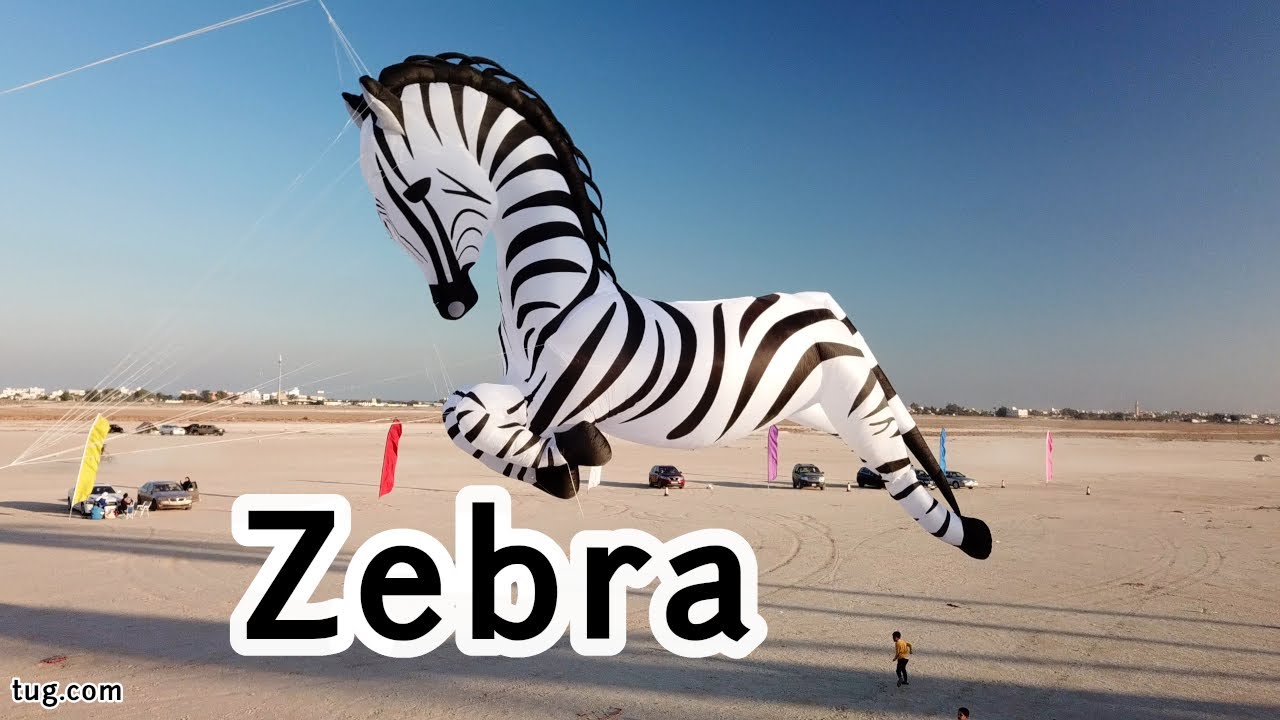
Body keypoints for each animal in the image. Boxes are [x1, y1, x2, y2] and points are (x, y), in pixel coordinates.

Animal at [343, 53, 991, 560]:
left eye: (415, 191)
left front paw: (566, 467)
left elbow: (467, 411)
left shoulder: (556, 394)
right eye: (381, 211)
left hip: (860, 410)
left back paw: (974, 536)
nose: (454, 304)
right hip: (835, 412)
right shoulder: (535, 393)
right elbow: (473, 418)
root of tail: (830, 308)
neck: (557, 286)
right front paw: (568, 465)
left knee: (911, 482)